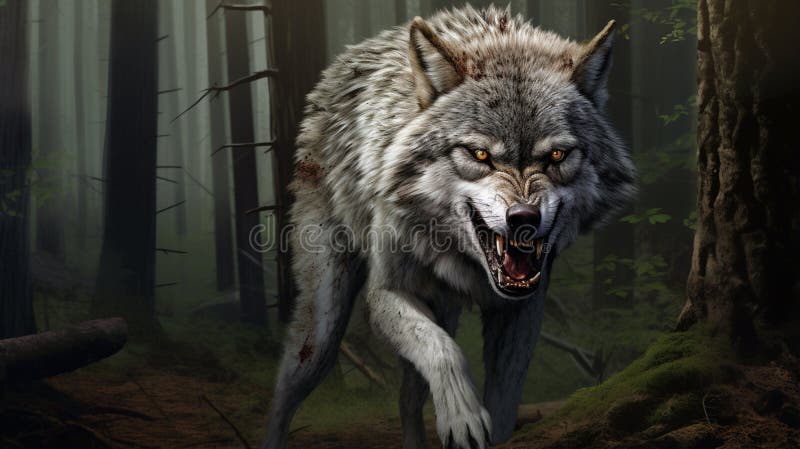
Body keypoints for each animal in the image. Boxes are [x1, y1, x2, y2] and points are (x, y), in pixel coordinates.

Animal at [261, 5, 635, 449]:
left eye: (558, 156)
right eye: (480, 154)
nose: (524, 218)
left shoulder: (523, 309)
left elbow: (505, 399)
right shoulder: (386, 295)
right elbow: (444, 351)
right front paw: (463, 415)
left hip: (441, 308)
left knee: (408, 397)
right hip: (322, 328)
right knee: (287, 386)